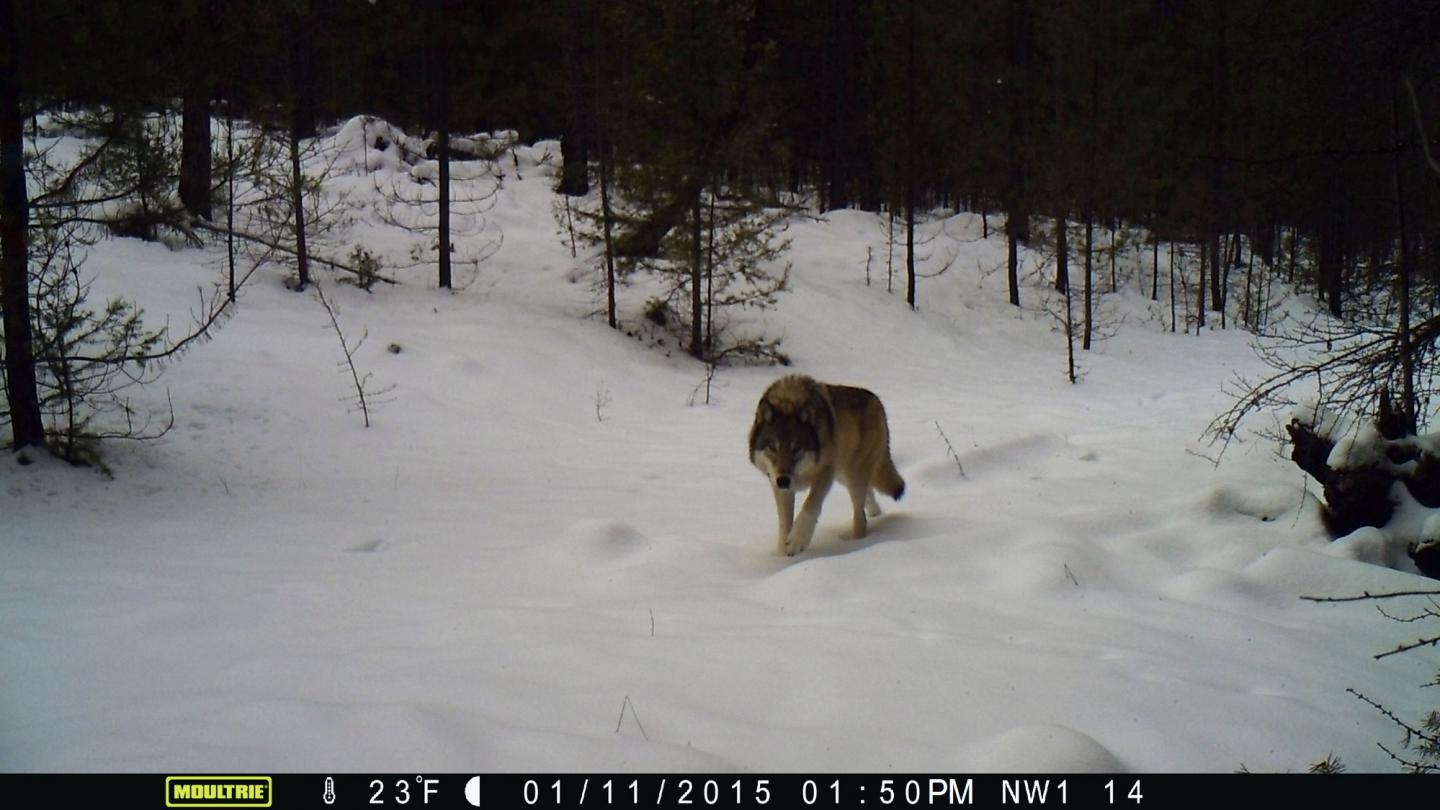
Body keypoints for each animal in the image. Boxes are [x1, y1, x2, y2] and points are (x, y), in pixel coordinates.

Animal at [749, 374, 905, 556]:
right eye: (772, 447)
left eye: (796, 449)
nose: (783, 481)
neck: (789, 401)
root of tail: (877, 401)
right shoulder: (778, 484)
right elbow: (784, 524)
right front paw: (783, 554)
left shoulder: (826, 471)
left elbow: (810, 505)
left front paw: (797, 541)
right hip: (843, 475)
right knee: (869, 495)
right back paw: (876, 514)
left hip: (852, 475)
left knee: (860, 518)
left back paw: (856, 545)